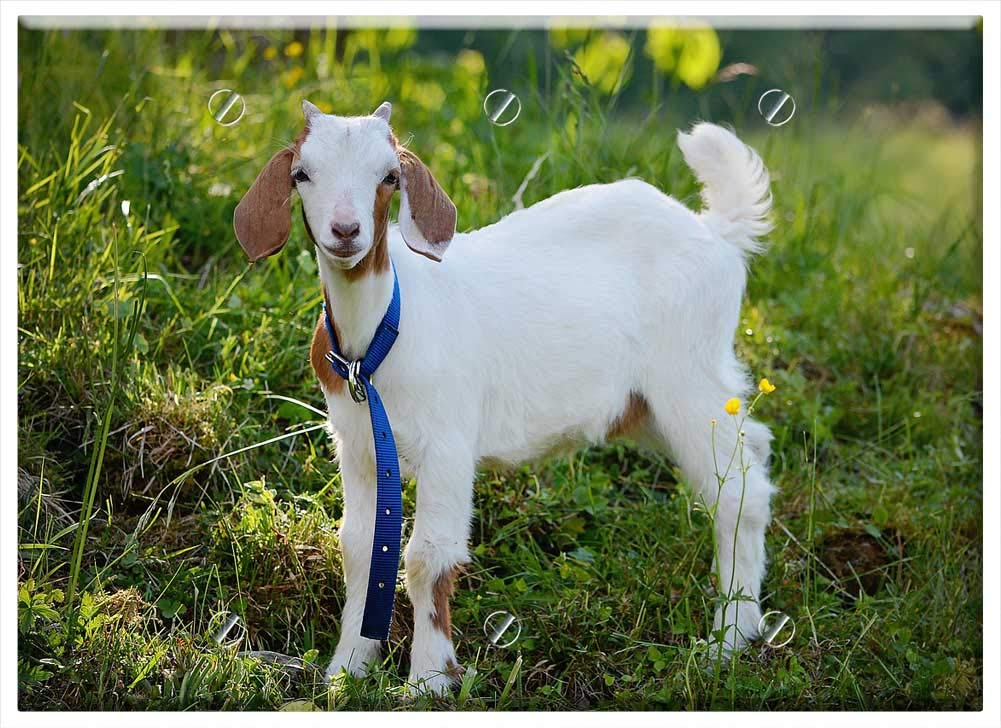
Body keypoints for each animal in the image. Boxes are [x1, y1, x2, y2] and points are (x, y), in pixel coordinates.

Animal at [233, 100, 777, 696]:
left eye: (390, 177)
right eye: (302, 174)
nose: (346, 230)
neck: (378, 334)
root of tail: (715, 234)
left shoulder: (448, 443)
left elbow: (427, 556)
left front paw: (429, 680)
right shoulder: (359, 447)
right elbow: (359, 547)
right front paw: (346, 669)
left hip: (687, 380)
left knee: (738, 495)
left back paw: (728, 640)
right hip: (650, 406)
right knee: (754, 446)